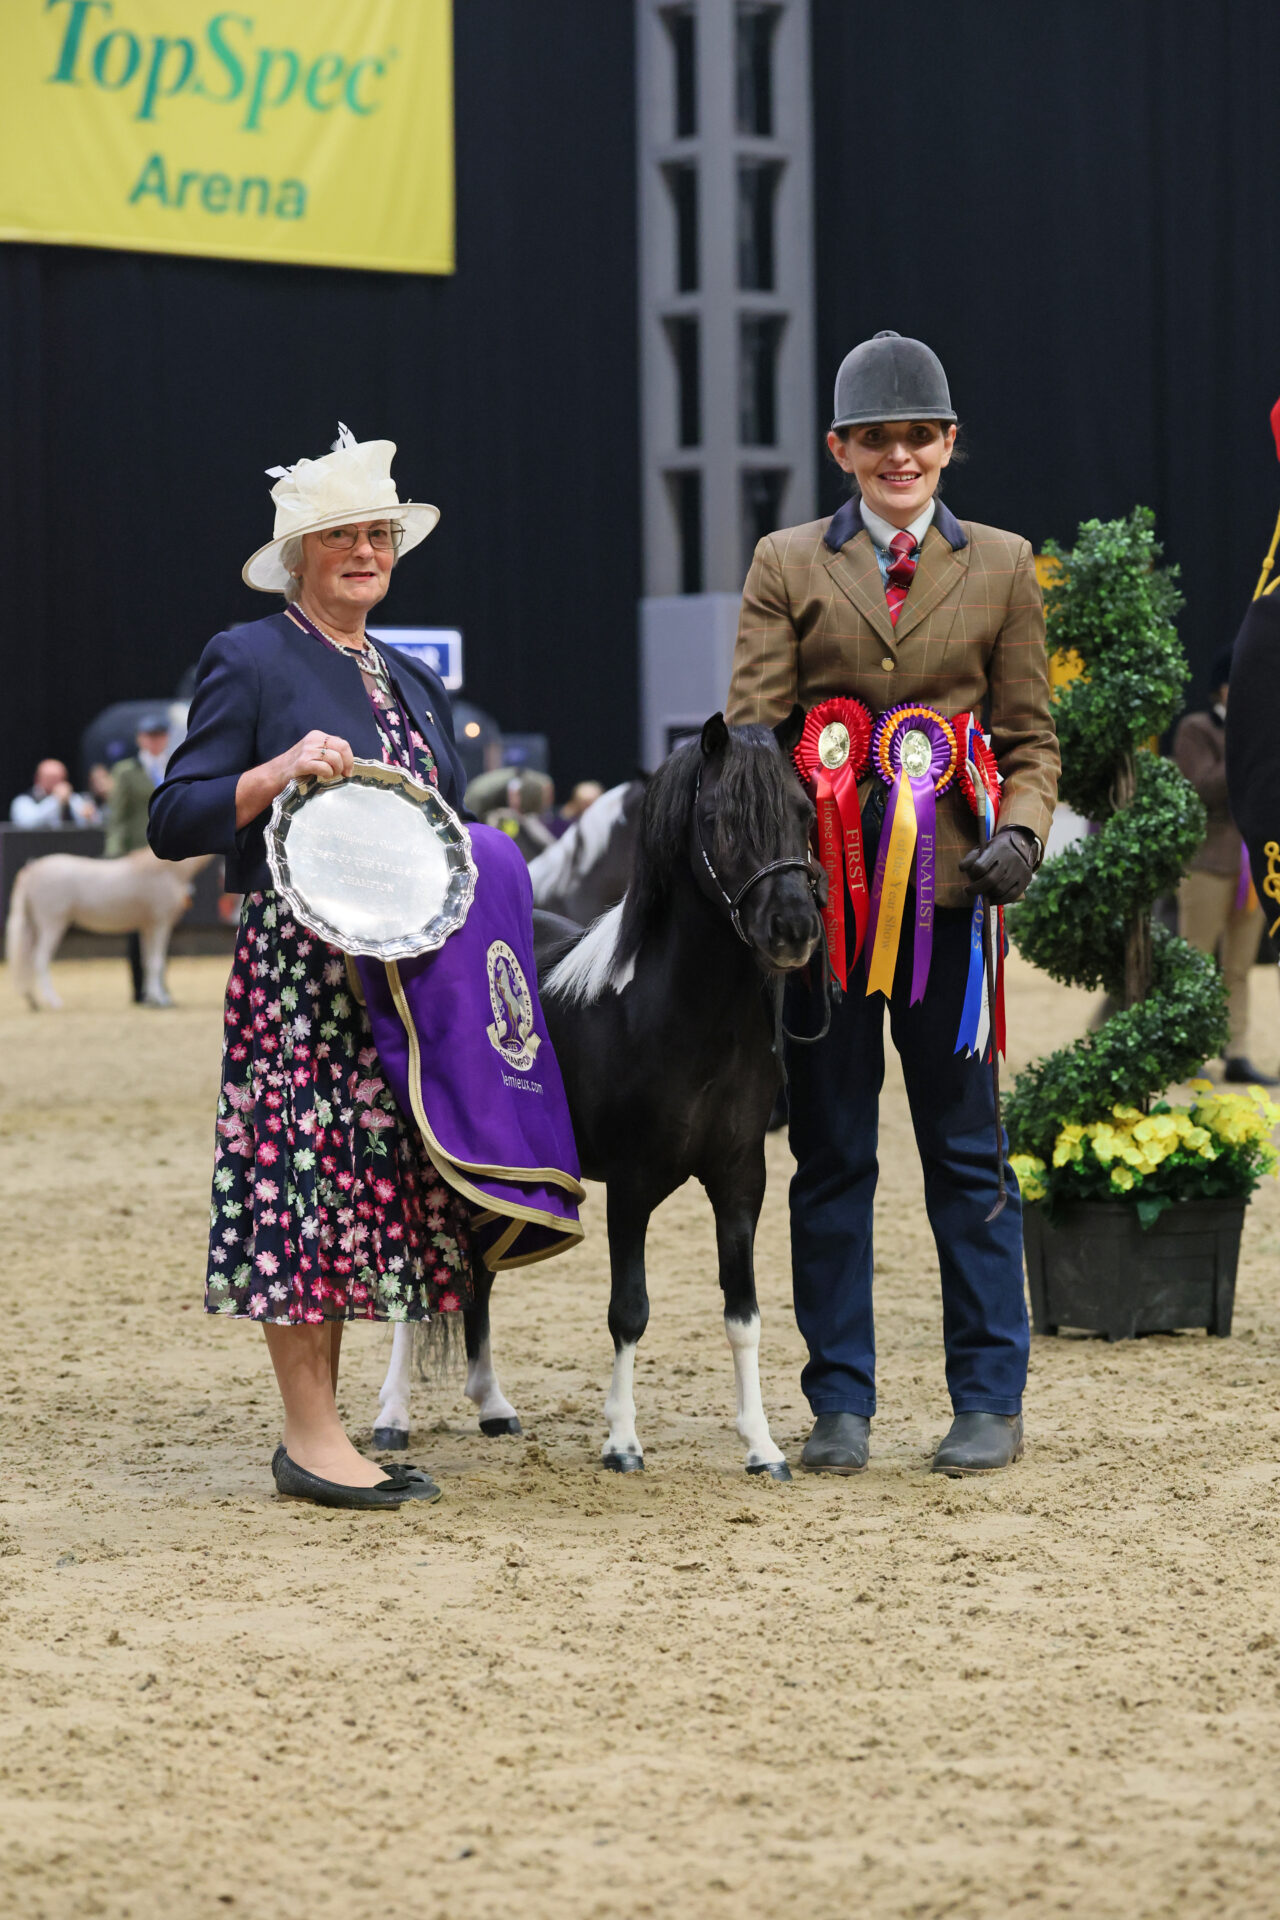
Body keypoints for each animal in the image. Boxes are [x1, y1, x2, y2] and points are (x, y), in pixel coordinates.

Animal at [4, 848, 211, 1009]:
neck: (168, 869)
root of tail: (31, 869)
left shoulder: (146, 926)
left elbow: (146, 962)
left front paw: (151, 998)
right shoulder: (160, 923)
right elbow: (156, 963)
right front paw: (160, 999)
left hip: (33, 926)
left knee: (26, 960)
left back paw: (32, 999)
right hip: (52, 924)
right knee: (39, 959)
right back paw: (53, 1000)